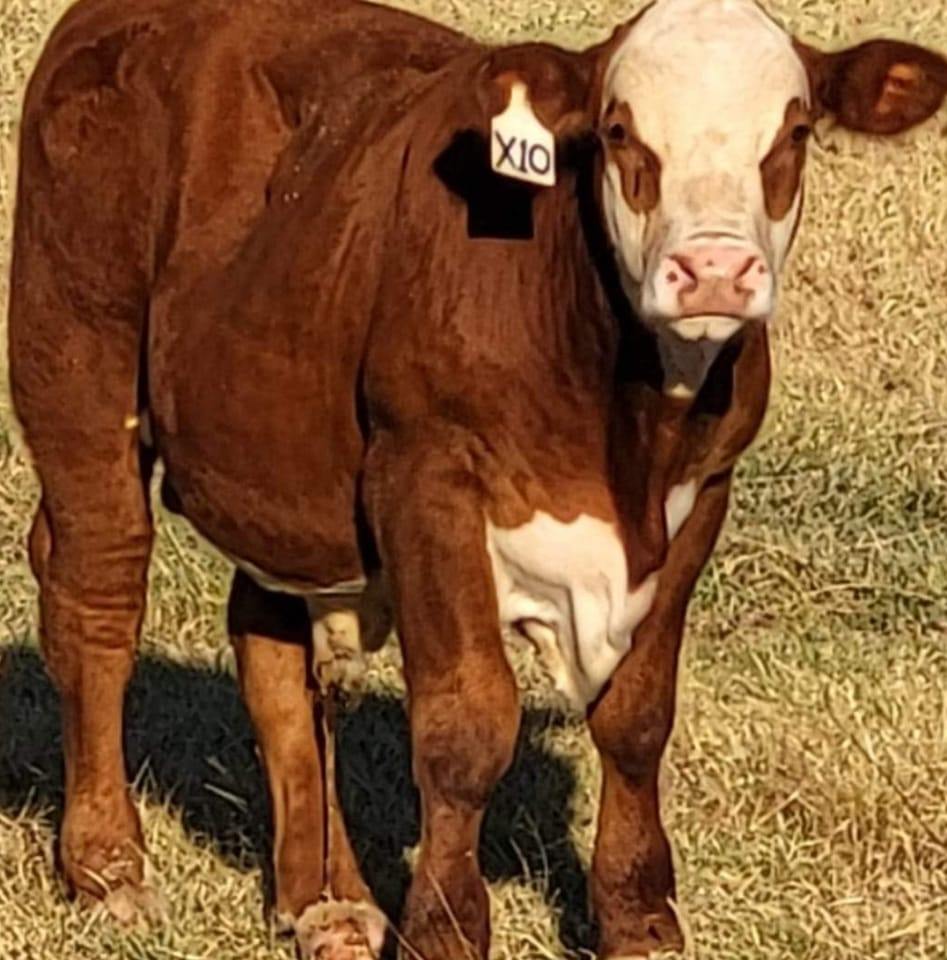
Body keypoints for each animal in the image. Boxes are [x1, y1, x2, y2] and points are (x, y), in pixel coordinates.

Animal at [9, 0, 946, 957]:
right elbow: (465, 726)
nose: (714, 271)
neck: (626, 423)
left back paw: (324, 898)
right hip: (77, 355)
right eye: (618, 131)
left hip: (275, 448)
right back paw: (108, 864)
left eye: (793, 132)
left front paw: (639, 917)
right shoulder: (427, 479)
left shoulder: (701, 496)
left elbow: (637, 715)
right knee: (98, 587)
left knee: (269, 649)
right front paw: (447, 929)